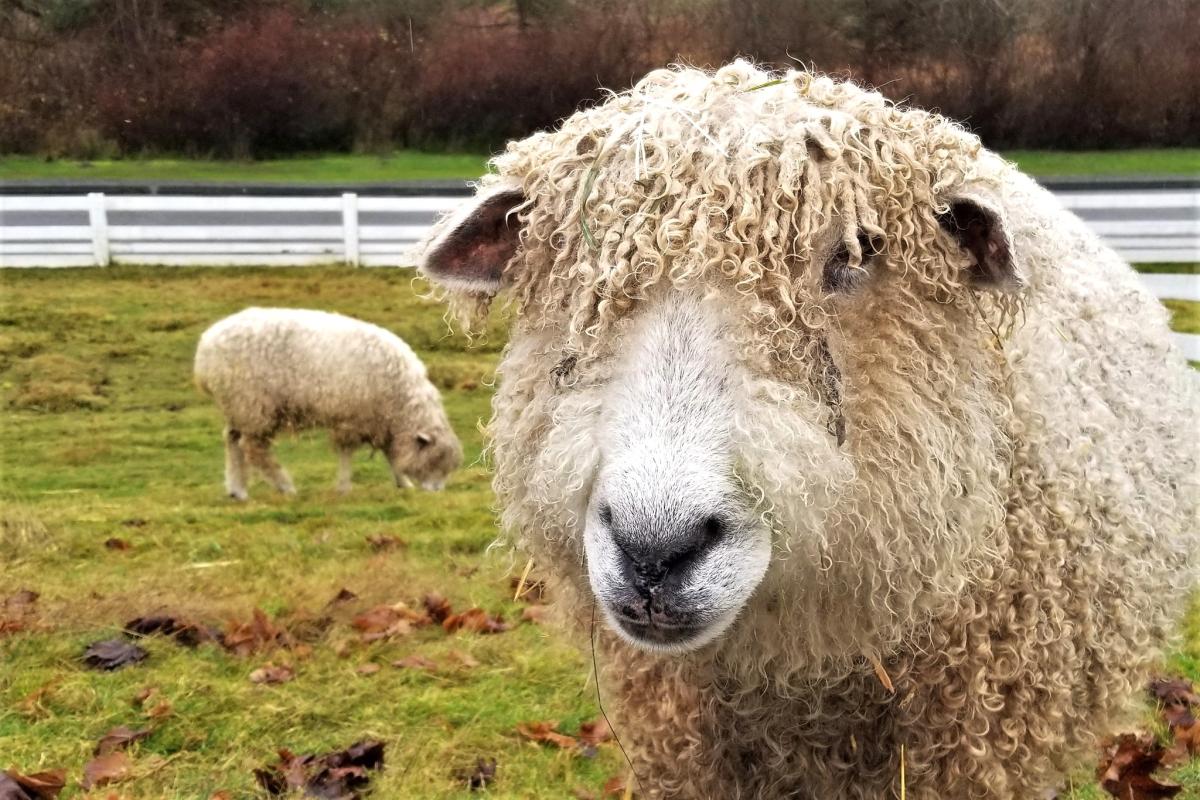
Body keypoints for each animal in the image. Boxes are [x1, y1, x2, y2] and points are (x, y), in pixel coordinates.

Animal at [194, 307, 461, 500]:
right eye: (433, 461)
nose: (437, 493)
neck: (400, 397)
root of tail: (204, 350)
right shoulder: (352, 417)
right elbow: (346, 452)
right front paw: (343, 487)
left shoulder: (380, 421)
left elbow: (389, 454)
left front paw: (403, 483)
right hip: (254, 405)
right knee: (253, 448)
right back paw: (285, 486)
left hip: (239, 406)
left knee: (232, 441)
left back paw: (237, 490)